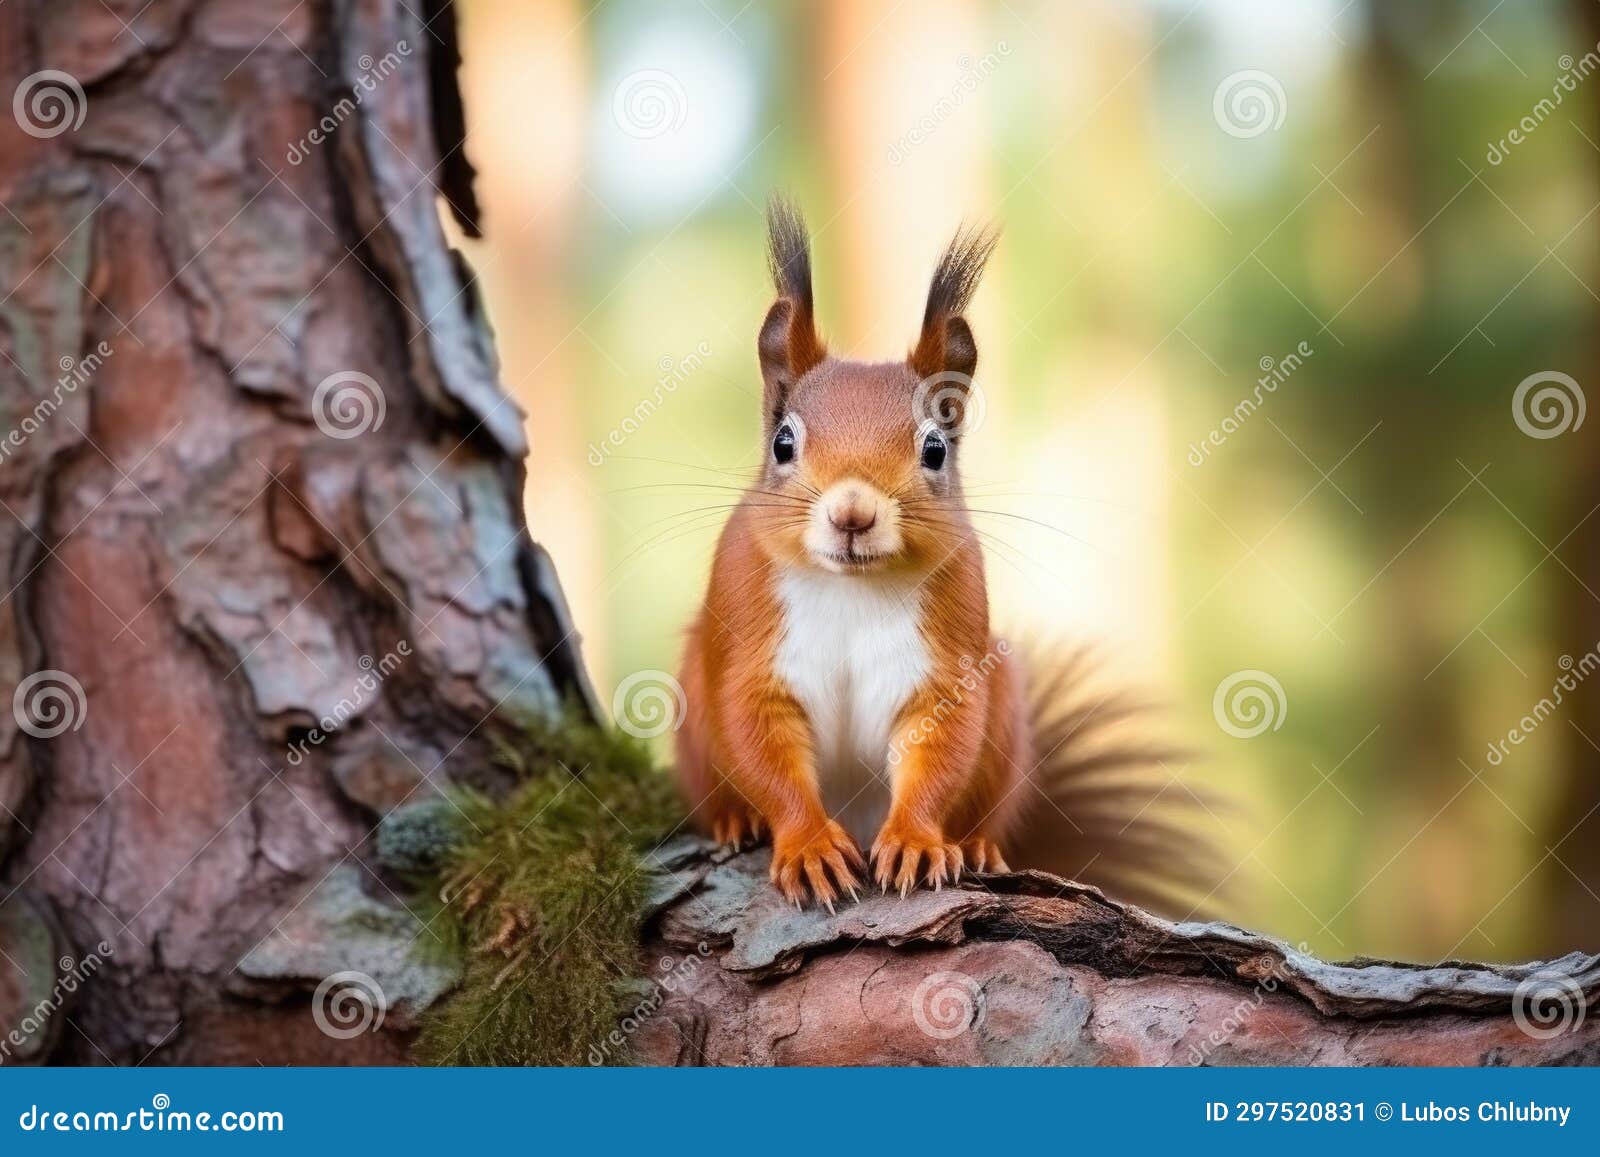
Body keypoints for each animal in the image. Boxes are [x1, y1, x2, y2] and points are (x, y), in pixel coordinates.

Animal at [675, 199, 1215, 911]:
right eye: (783, 442)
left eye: (934, 448)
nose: (853, 514)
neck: (852, 586)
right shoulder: (746, 636)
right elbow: (760, 745)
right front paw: (809, 847)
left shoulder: (951, 648)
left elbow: (940, 751)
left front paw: (915, 840)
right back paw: (737, 820)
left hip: (1005, 700)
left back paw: (979, 844)